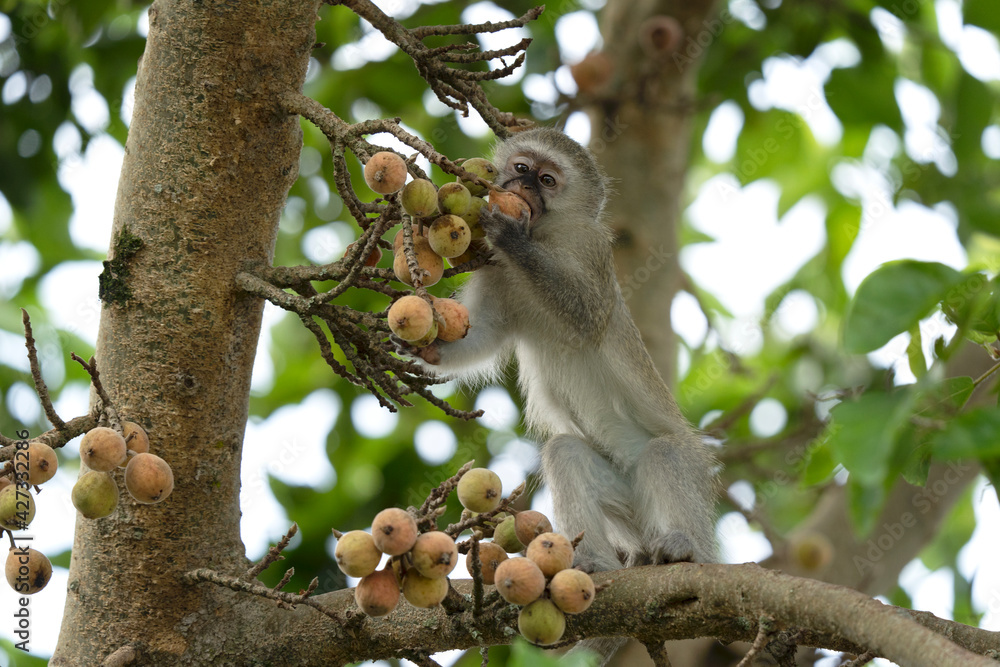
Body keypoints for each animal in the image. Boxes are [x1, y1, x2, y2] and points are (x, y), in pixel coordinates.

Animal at [408, 127, 718, 574]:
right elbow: (481, 334)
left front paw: (511, 237)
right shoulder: (494, 270)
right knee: (565, 451)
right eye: (521, 167)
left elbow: (585, 314)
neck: (544, 234)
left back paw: (684, 547)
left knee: (665, 454)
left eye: (546, 180)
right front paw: (424, 345)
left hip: (691, 478)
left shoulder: (589, 245)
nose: (521, 186)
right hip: (628, 513)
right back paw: (593, 563)